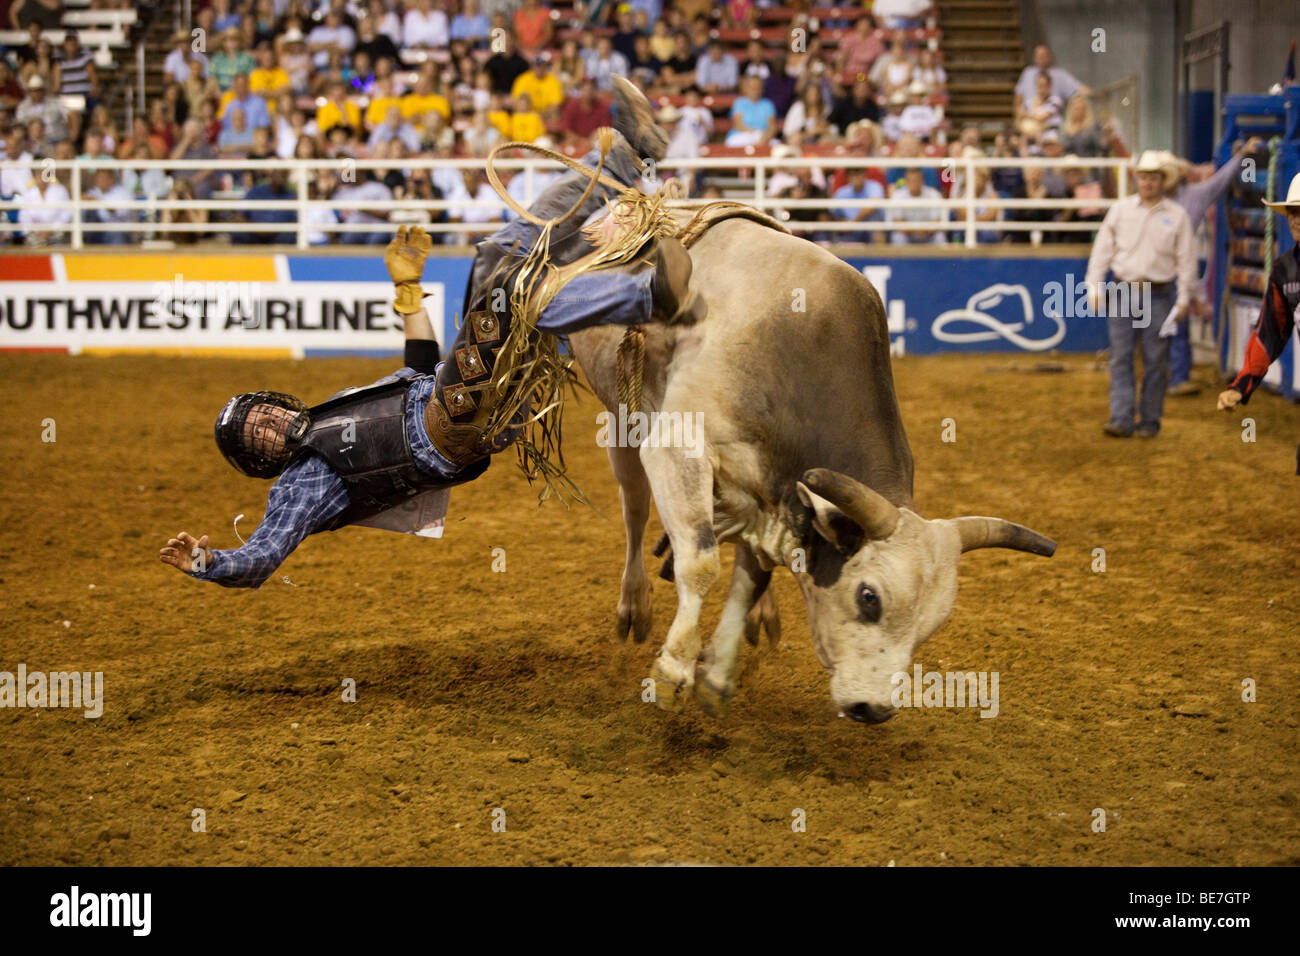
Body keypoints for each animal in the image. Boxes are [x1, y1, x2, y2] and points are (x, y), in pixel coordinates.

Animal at [568, 215, 1056, 724]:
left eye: (933, 622)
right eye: (868, 597)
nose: (874, 709)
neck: (791, 347)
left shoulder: (774, 490)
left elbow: (752, 574)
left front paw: (718, 674)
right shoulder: (676, 446)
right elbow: (701, 562)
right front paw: (674, 668)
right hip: (622, 417)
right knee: (635, 508)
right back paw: (634, 604)